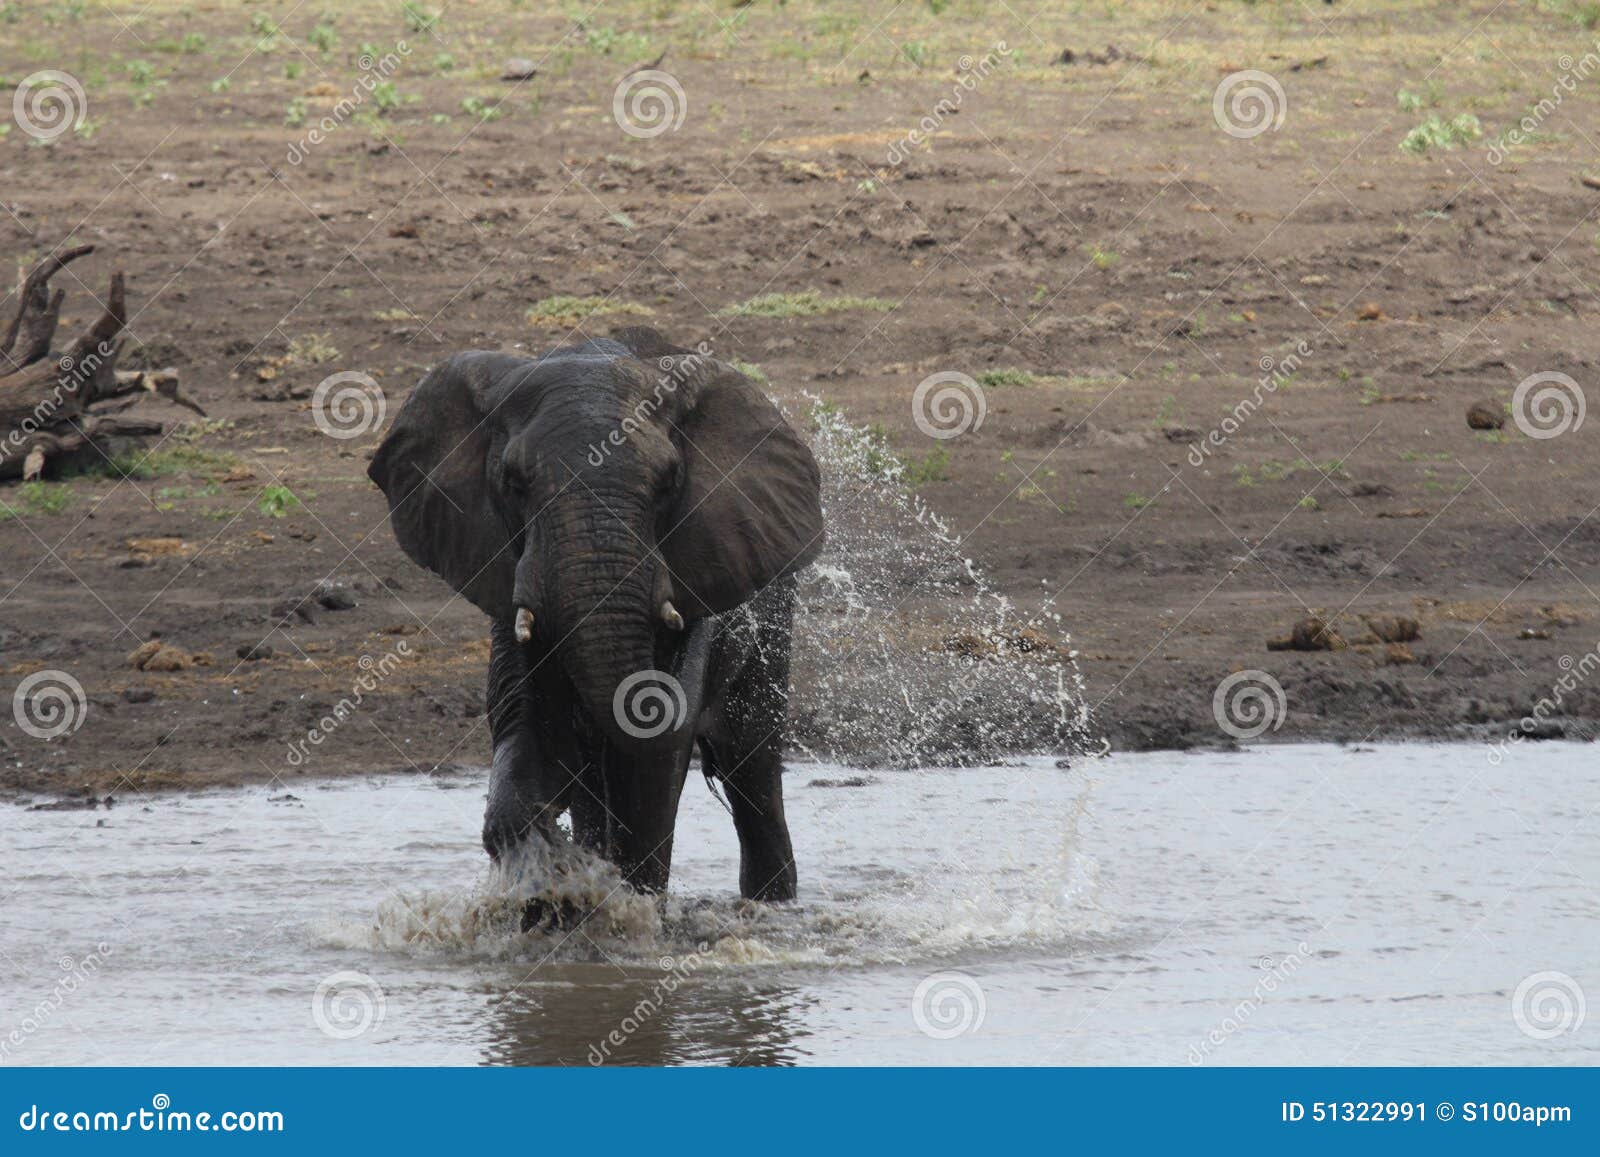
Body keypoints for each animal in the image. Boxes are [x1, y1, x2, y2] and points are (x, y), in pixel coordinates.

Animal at [368, 328, 824, 912]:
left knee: (752, 766)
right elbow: (525, 718)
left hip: (774, 609)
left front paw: (631, 911)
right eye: (513, 483)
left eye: (668, 481)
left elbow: (655, 751)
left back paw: (770, 906)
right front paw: (550, 877)